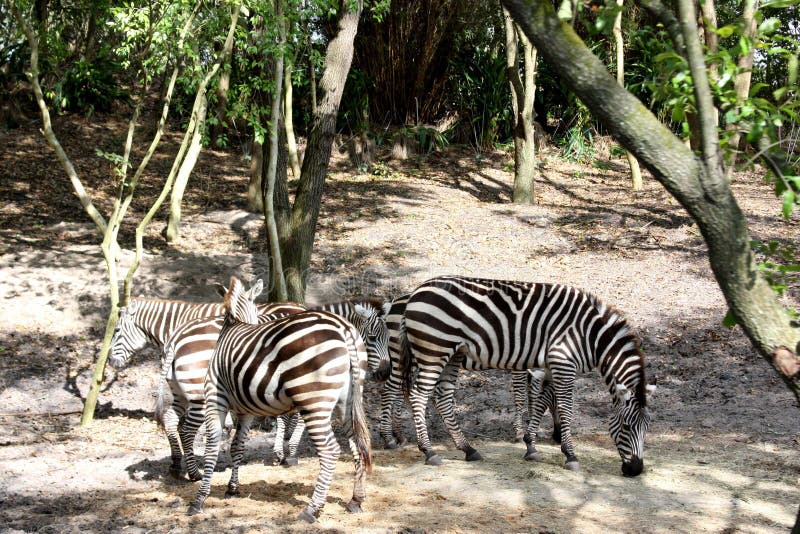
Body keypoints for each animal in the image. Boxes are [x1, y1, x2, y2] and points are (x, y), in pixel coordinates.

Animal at [157, 298, 389, 479]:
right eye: (372, 338)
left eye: (388, 339)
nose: (385, 373)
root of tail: (176, 337)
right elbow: (294, 420)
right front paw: (290, 453)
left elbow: (284, 418)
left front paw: (280, 452)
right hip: (200, 394)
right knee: (187, 429)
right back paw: (194, 473)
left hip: (180, 392)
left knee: (170, 419)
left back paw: (176, 464)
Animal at [187, 277, 373, 523]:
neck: (235, 323)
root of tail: (343, 328)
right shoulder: (246, 410)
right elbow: (237, 447)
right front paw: (232, 488)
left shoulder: (215, 397)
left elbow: (212, 448)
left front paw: (199, 500)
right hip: (349, 400)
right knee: (357, 445)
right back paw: (356, 500)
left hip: (314, 401)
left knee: (330, 450)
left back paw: (311, 510)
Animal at [378, 293, 561, 453]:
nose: (557, 438)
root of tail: (392, 304)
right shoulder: (519, 363)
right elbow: (522, 396)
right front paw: (520, 433)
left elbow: (533, 395)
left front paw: (533, 428)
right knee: (389, 390)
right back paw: (388, 438)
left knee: (400, 393)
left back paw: (399, 435)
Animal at [400, 275, 654, 476]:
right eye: (626, 427)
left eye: (646, 429)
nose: (635, 470)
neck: (591, 336)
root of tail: (417, 291)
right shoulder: (563, 363)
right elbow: (566, 409)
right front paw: (570, 456)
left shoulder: (552, 366)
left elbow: (541, 404)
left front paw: (531, 446)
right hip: (434, 351)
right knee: (419, 396)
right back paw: (429, 451)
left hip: (453, 354)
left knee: (442, 398)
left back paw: (468, 449)